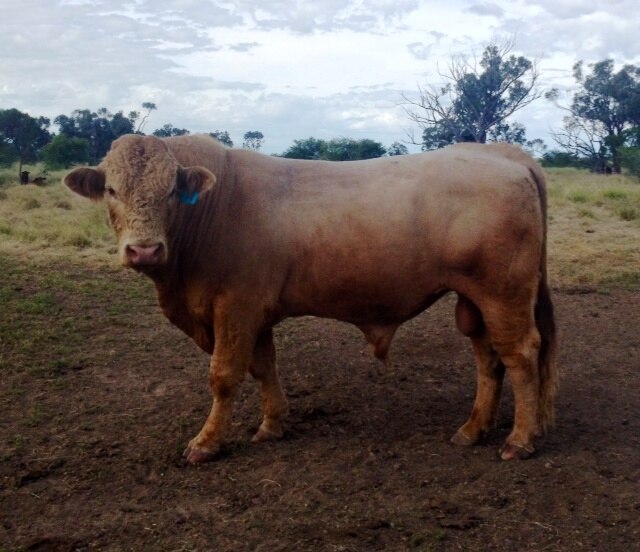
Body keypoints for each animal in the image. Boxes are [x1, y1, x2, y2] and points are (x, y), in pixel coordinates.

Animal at [64, 134, 557, 464]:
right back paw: (473, 429)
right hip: (475, 300)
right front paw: (273, 424)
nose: (144, 250)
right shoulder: (255, 312)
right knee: (488, 358)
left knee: (520, 353)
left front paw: (206, 443)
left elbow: (224, 376)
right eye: (111, 189)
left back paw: (520, 440)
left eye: (170, 191)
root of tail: (502, 154)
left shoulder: (235, 307)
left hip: (503, 293)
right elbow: (264, 367)